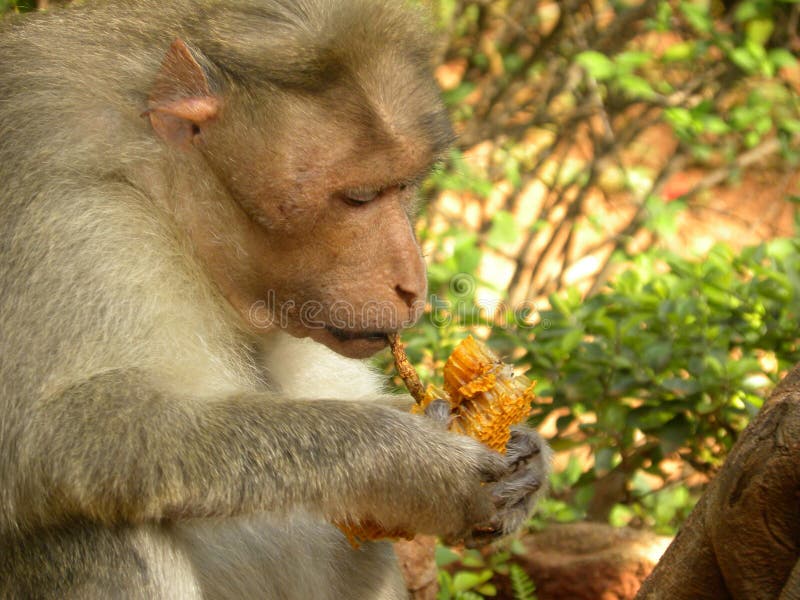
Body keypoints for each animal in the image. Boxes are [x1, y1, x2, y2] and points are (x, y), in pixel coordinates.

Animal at [0, 1, 551, 598]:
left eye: (405, 186)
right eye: (359, 197)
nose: (413, 285)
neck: (165, 202)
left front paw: (525, 455)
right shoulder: (69, 219)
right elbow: (41, 438)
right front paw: (409, 462)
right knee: (92, 527)